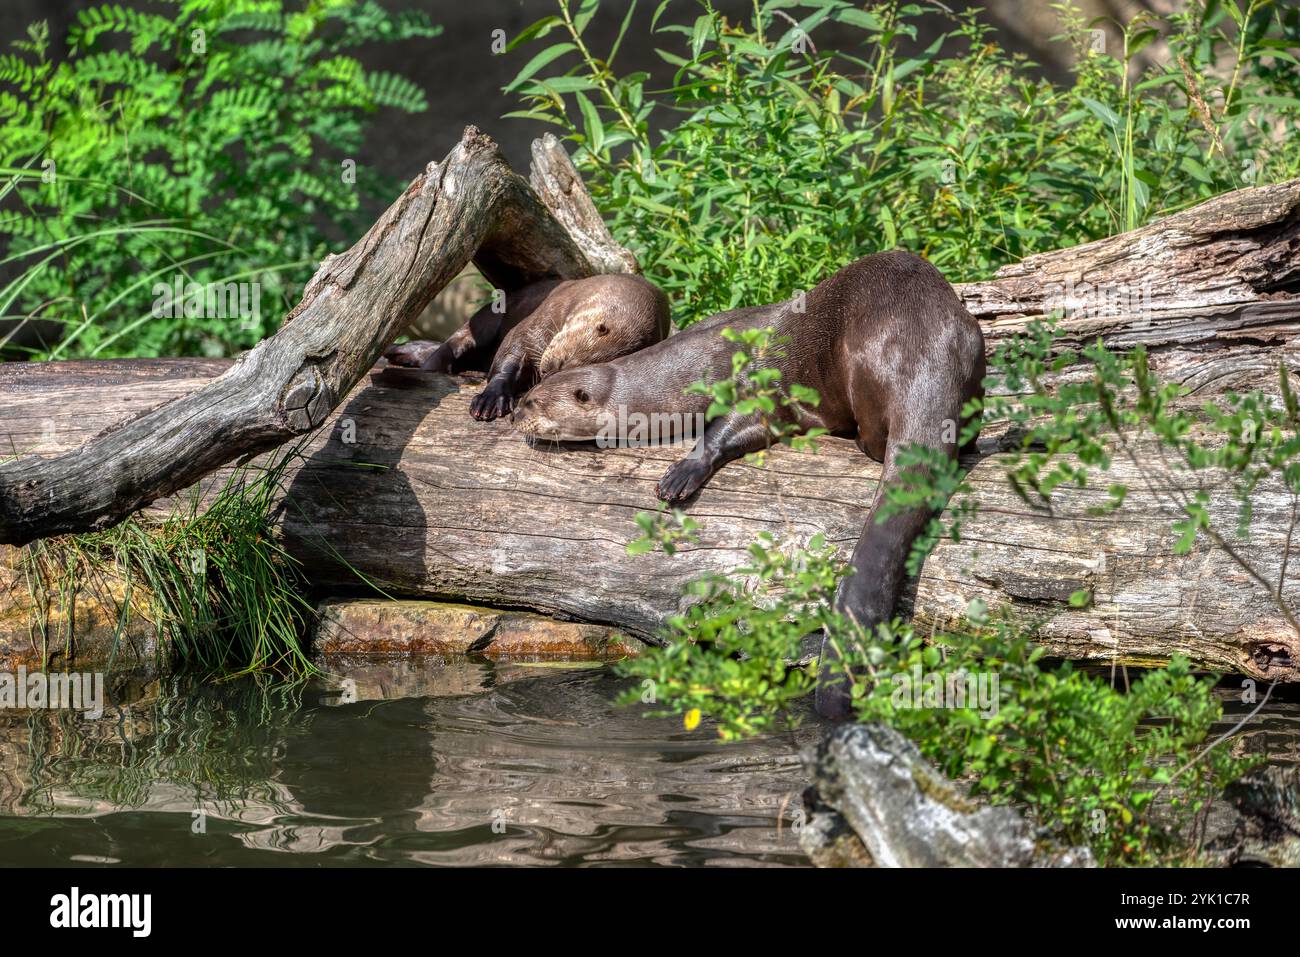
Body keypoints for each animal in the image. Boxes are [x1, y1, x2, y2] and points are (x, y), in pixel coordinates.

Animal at [384, 274, 669, 421]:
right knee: (456, 342)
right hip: (488, 316)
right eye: (562, 361)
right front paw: (491, 398)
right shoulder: (547, 313)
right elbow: (514, 346)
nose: (545, 371)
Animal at [511, 251, 985, 720]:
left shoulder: (758, 386)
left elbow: (732, 427)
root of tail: (923, 354)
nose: (514, 414)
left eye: (533, 401)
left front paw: (682, 474)